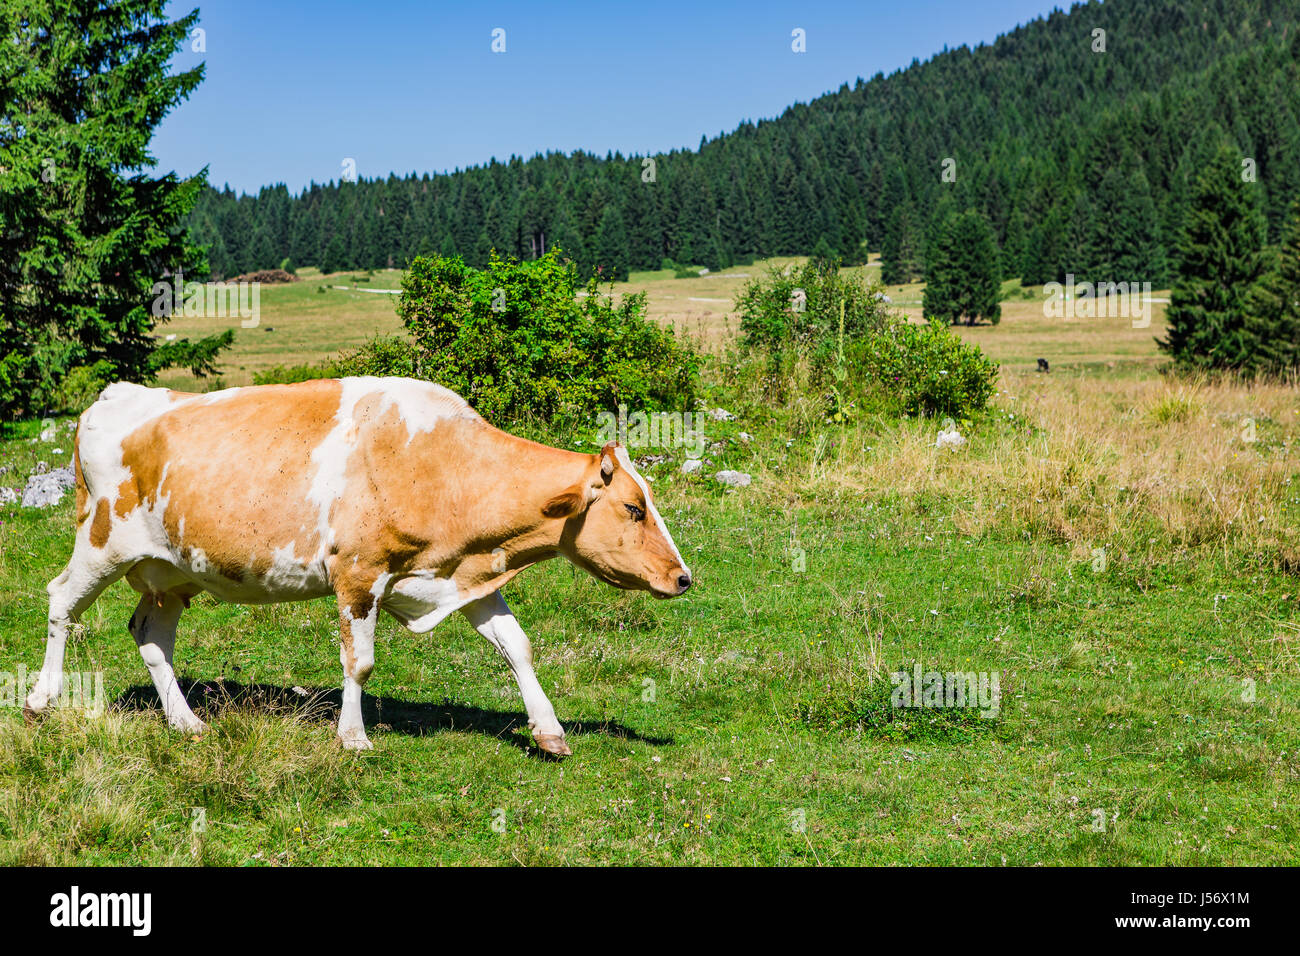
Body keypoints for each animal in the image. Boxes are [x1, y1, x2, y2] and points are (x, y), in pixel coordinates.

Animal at [22, 377, 693, 755]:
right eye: (634, 509)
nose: (683, 577)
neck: (440, 465)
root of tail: (118, 394)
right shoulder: (358, 573)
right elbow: (360, 661)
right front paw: (353, 737)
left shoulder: (464, 575)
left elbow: (517, 646)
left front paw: (548, 731)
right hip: (102, 541)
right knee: (60, 601)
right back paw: (41, 699)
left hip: (173, 570)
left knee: (151, 635)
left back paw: (186, 722)